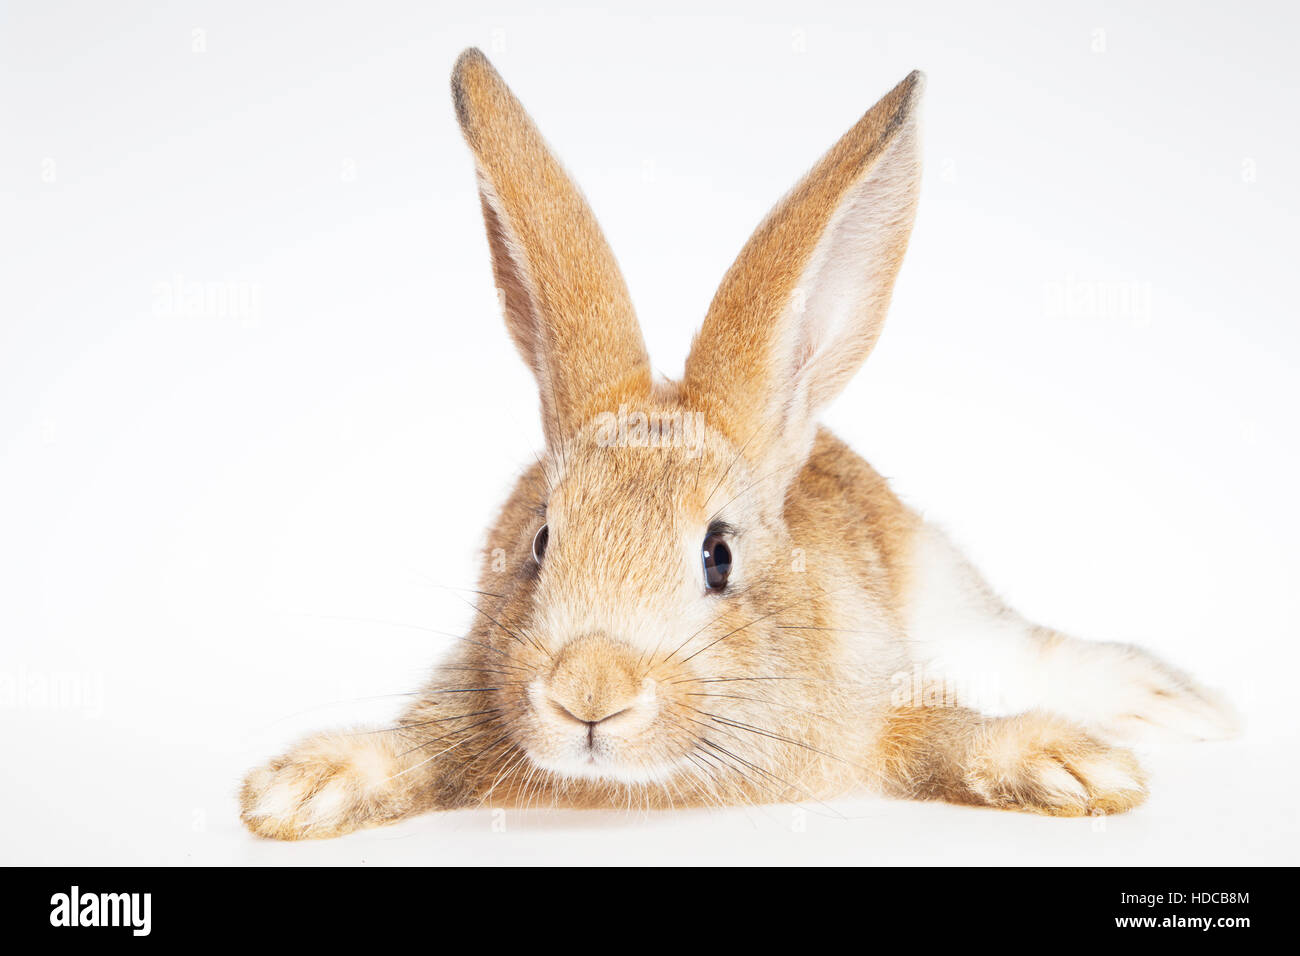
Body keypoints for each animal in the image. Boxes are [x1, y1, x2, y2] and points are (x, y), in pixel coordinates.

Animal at [240, 49, 1238, 840]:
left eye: (718, 556)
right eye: (540, 541)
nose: (590, 692)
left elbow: (949, 735)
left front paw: (1077, 770)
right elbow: (410, 747)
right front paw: (298, 789)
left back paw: (1178, 708)